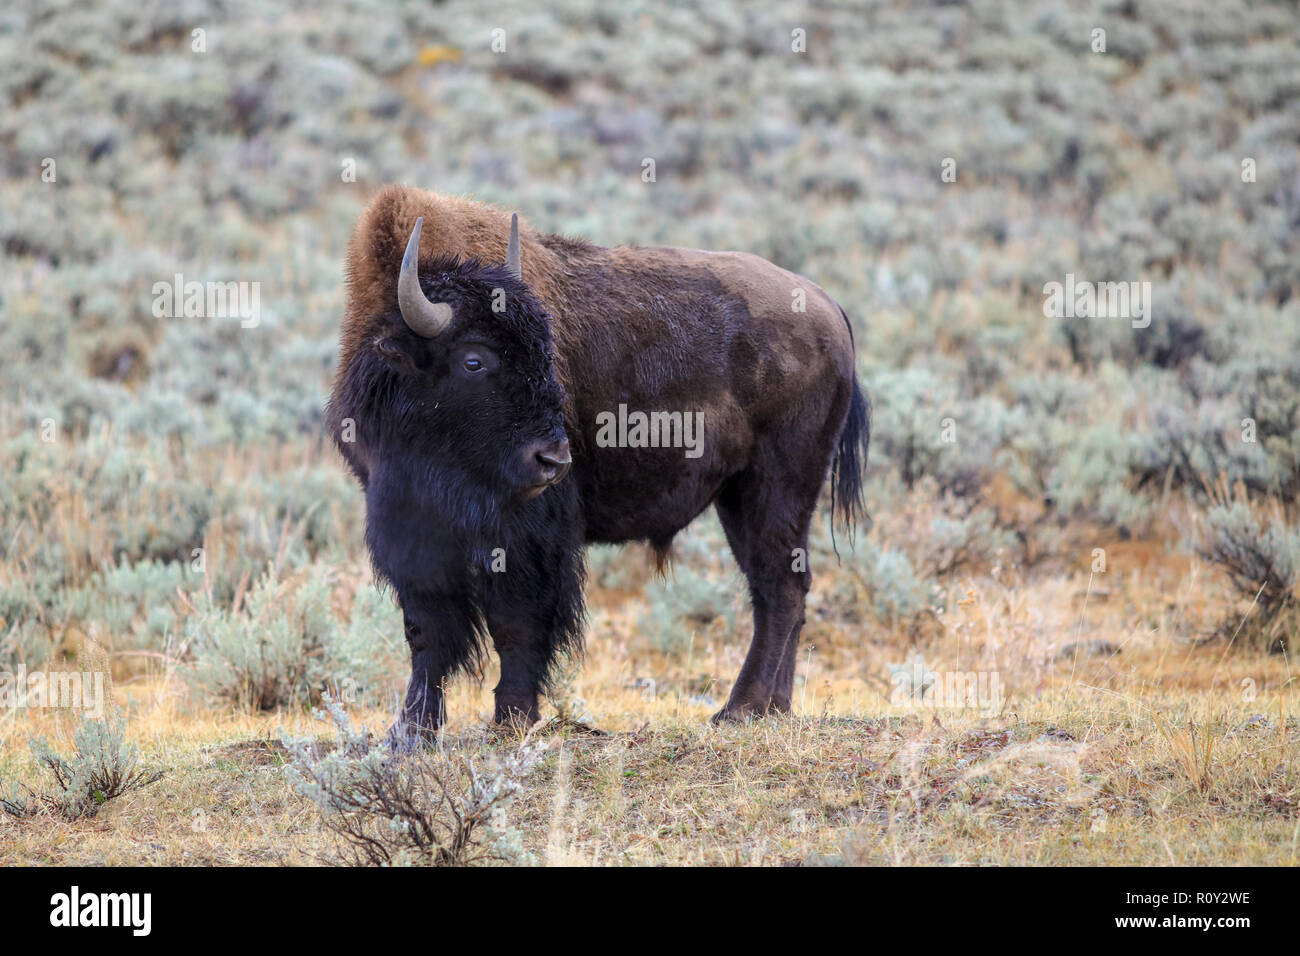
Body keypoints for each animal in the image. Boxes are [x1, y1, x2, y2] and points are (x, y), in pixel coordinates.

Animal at [327, 185, 869, 742]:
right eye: (473, 360)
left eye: (547, 353)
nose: (552, 459)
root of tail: (829, 309)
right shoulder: (409, 528)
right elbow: (426, 633)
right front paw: (411, 732)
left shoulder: (527, 536)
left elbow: (515, 624)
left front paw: (512, 719)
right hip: (739, 499)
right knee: (776, 590)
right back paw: (770, 708)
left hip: (777, 489)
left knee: (780, 588)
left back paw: (739, 710)